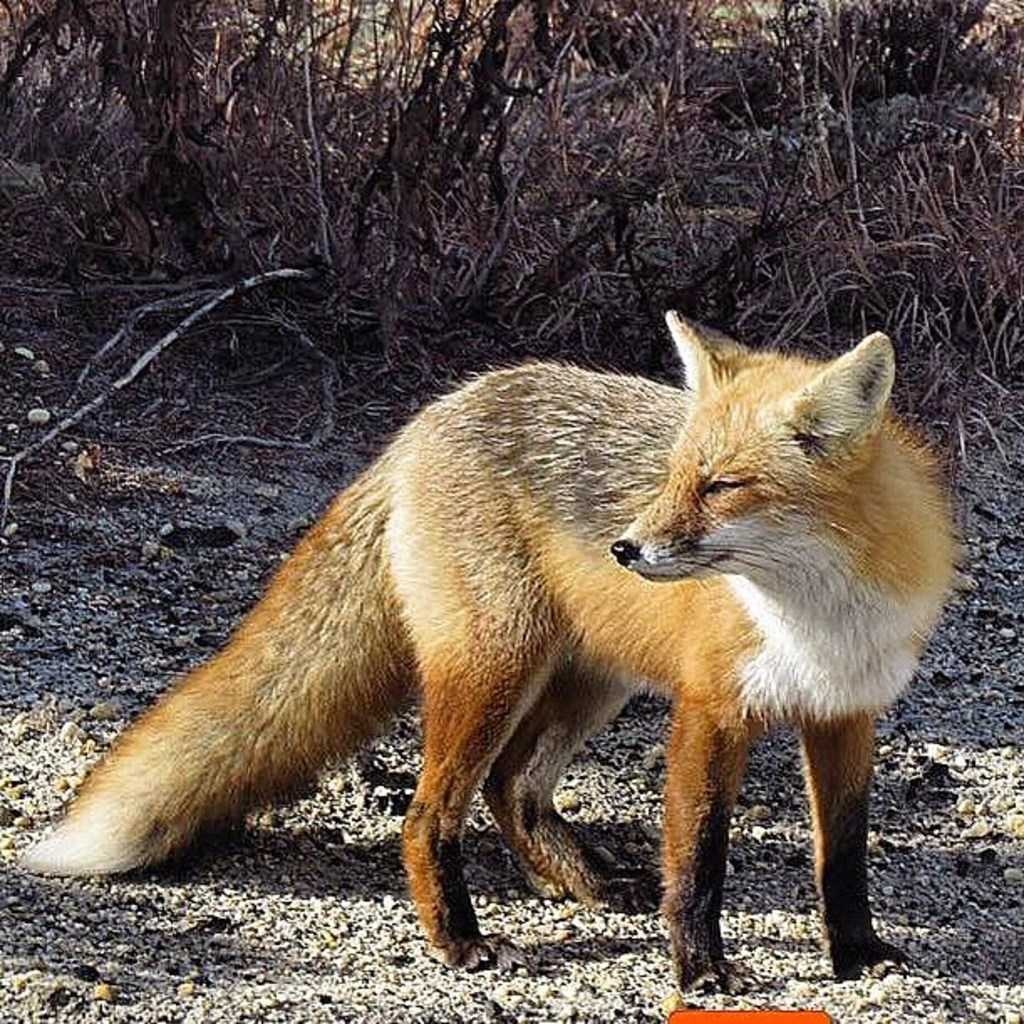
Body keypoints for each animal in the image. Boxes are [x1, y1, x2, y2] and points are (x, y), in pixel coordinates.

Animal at [22, 313, 955, 992]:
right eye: (671, 477)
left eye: (722, 485)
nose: (625, 548)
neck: (819, 617)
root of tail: (429, 418)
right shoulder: (710, 710)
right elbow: (698, 860)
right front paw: (700, 970)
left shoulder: (846, 712)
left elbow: (844, 858)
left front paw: (859, 956)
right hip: (494, 669)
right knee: (429, 812)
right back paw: (460, 941)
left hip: (588, 680)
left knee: (514, 787)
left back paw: (579, 883)